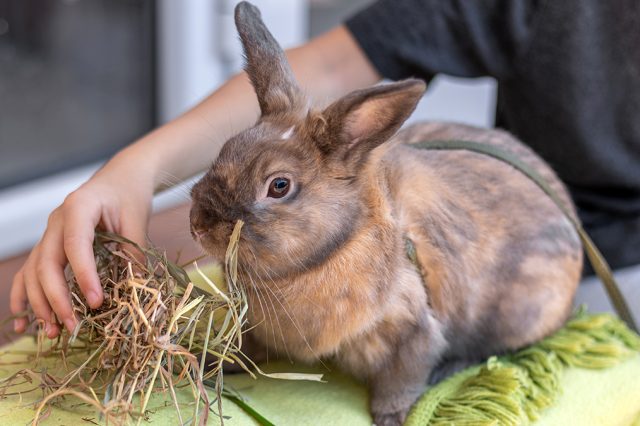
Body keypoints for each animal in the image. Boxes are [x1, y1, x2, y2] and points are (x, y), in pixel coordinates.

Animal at [189, 2, 583, 425]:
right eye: (227, 149)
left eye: (279, 186)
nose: (198, 225)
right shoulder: (258, 328)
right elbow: (244, 349)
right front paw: (211, 362)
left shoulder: (413, 331)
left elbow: (403, 378)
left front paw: (393, 416)